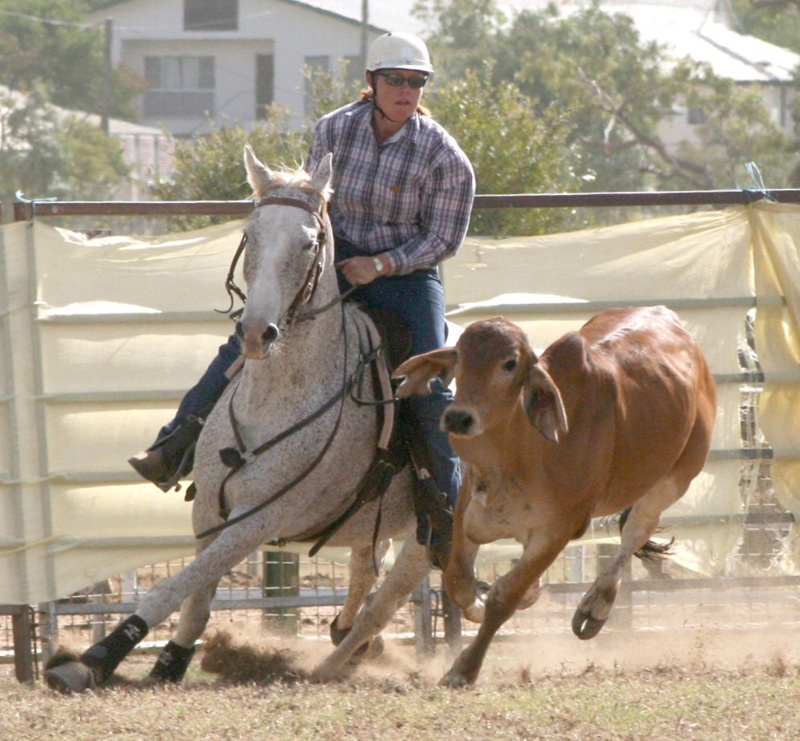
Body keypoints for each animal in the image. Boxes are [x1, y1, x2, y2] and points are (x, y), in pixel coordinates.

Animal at [44, 146, 434, 693]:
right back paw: (346, 636)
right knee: (364, 571)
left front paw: (95, 657)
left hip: (433, 536)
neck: (274, 400)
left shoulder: (258, 518)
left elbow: (175, 587)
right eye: (251, 233)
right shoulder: (209, 508)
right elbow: (197, 597)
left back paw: (338, 660)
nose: (255, 332)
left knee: (385, 602)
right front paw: (170, 663)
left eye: (309, 242)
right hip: (370, 521)